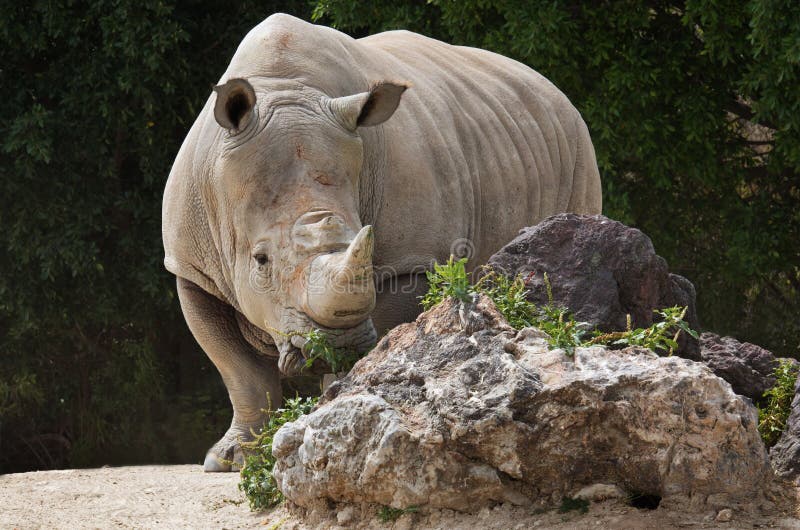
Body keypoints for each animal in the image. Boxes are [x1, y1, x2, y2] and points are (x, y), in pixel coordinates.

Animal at [162, 13, 601, 471]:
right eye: (260, 260)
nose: (334, 344)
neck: (285, 90)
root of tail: (554, 90)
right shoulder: (193, 268)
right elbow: (238, 369)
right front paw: (230, 460)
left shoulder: (411, 260)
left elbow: (378, 345)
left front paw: (331, 432)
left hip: (576, 146)